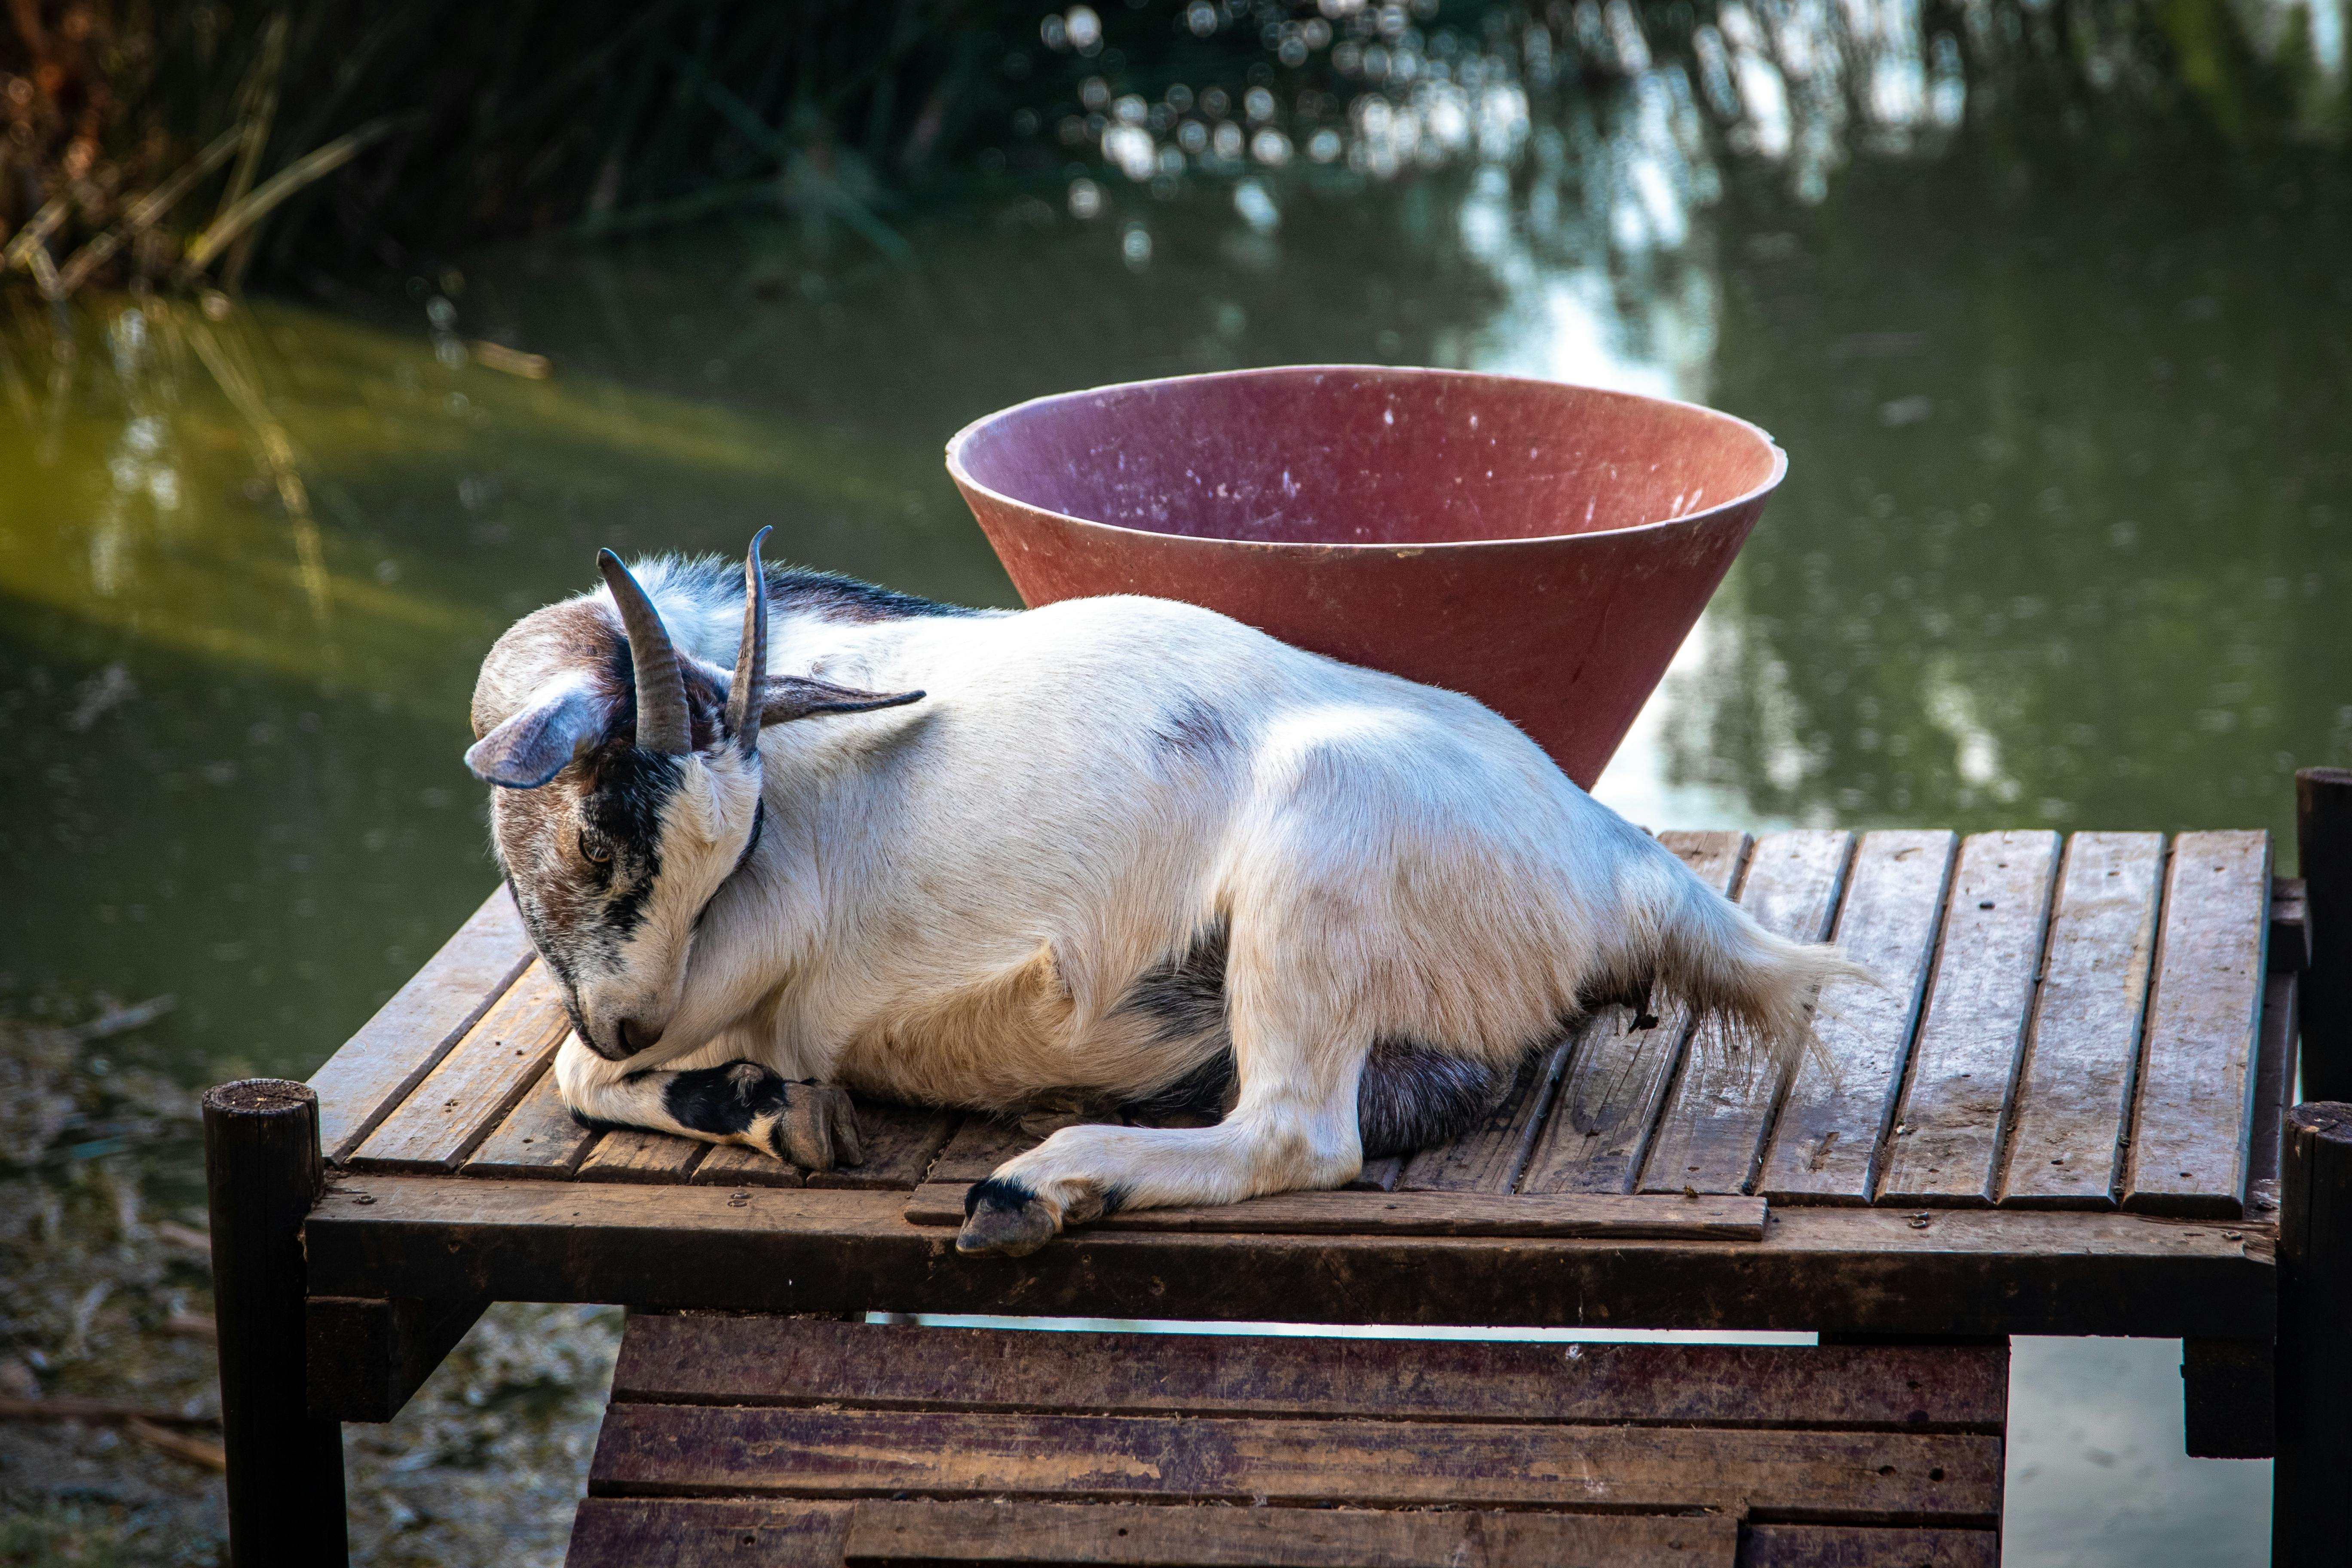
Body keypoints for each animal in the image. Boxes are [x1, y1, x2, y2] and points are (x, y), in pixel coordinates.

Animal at [464, 531, 1864, 1256]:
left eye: (601, 830)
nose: (632, 1019)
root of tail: (1621, 864)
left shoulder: (743, 953)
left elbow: (574, 1073)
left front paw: (774, 1110)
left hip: (1314, 856)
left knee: (1302, 1134)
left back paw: (1037, 1185)